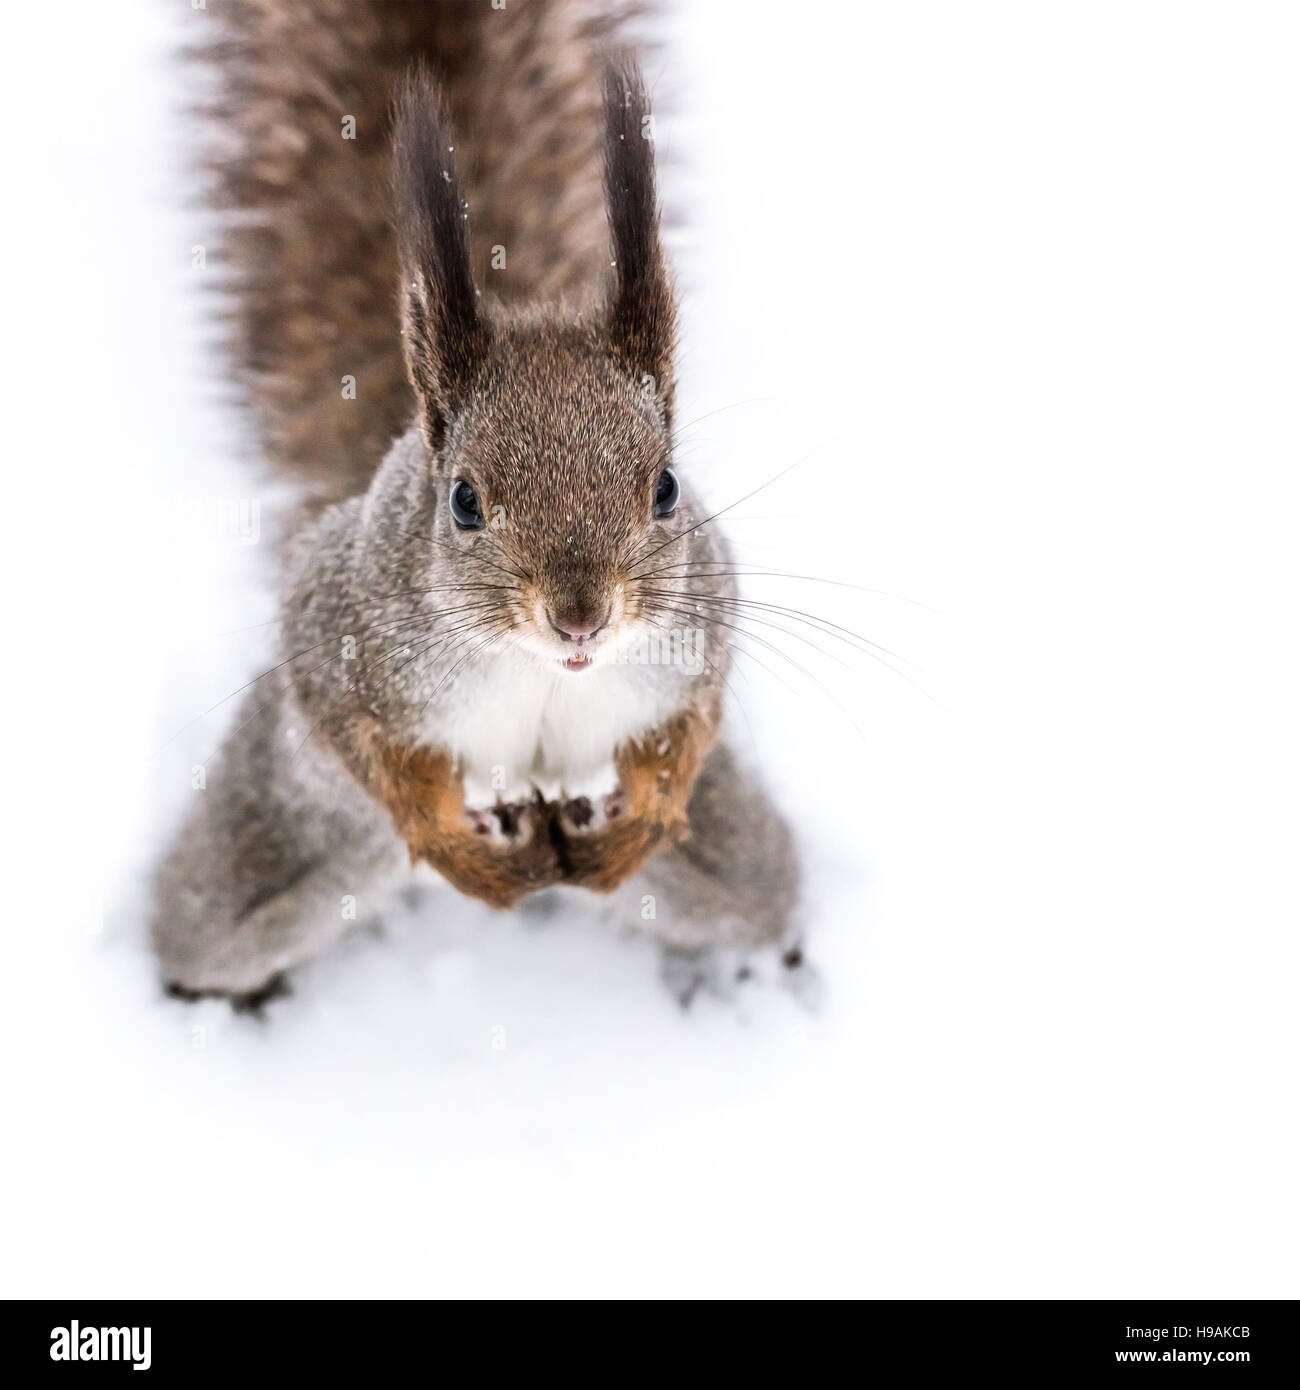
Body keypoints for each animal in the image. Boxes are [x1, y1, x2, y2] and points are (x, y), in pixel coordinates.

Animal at [154, 0, 801, 1008]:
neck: (539, 666)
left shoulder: (706, 613)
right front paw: (457, 847)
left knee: (751, 900)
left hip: (728, 867)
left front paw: (645, 810)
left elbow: (689, 729)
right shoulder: (335, 634)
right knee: (210, 932)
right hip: (267, 842)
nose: (580, 617)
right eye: (463, 500)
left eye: (665, 487)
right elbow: (369, 752)